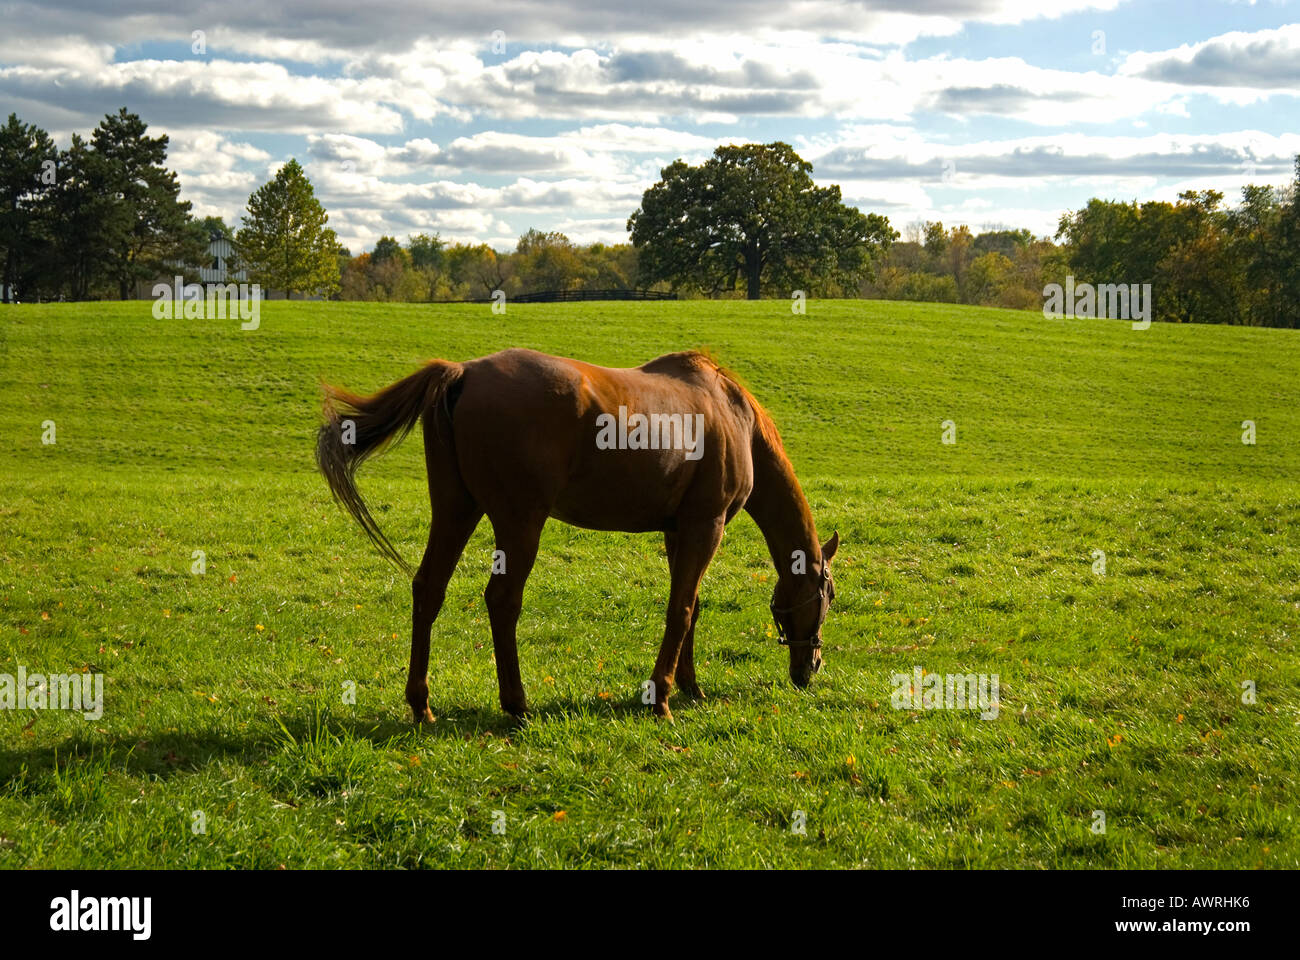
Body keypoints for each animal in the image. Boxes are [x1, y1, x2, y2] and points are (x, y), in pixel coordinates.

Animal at [315, 348, 838, 722]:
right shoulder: (704, 528)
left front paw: (690, 686)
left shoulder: (680, 532)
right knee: (502, 601)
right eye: (828, 596)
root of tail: (463, 374)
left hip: (456, 511)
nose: (810, 668)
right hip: (519, 523)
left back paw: (422, 705)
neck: (733, 416)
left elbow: (689, 607)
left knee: (429, 589)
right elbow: (682, 610)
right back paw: (517, 704)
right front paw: (662, 699)